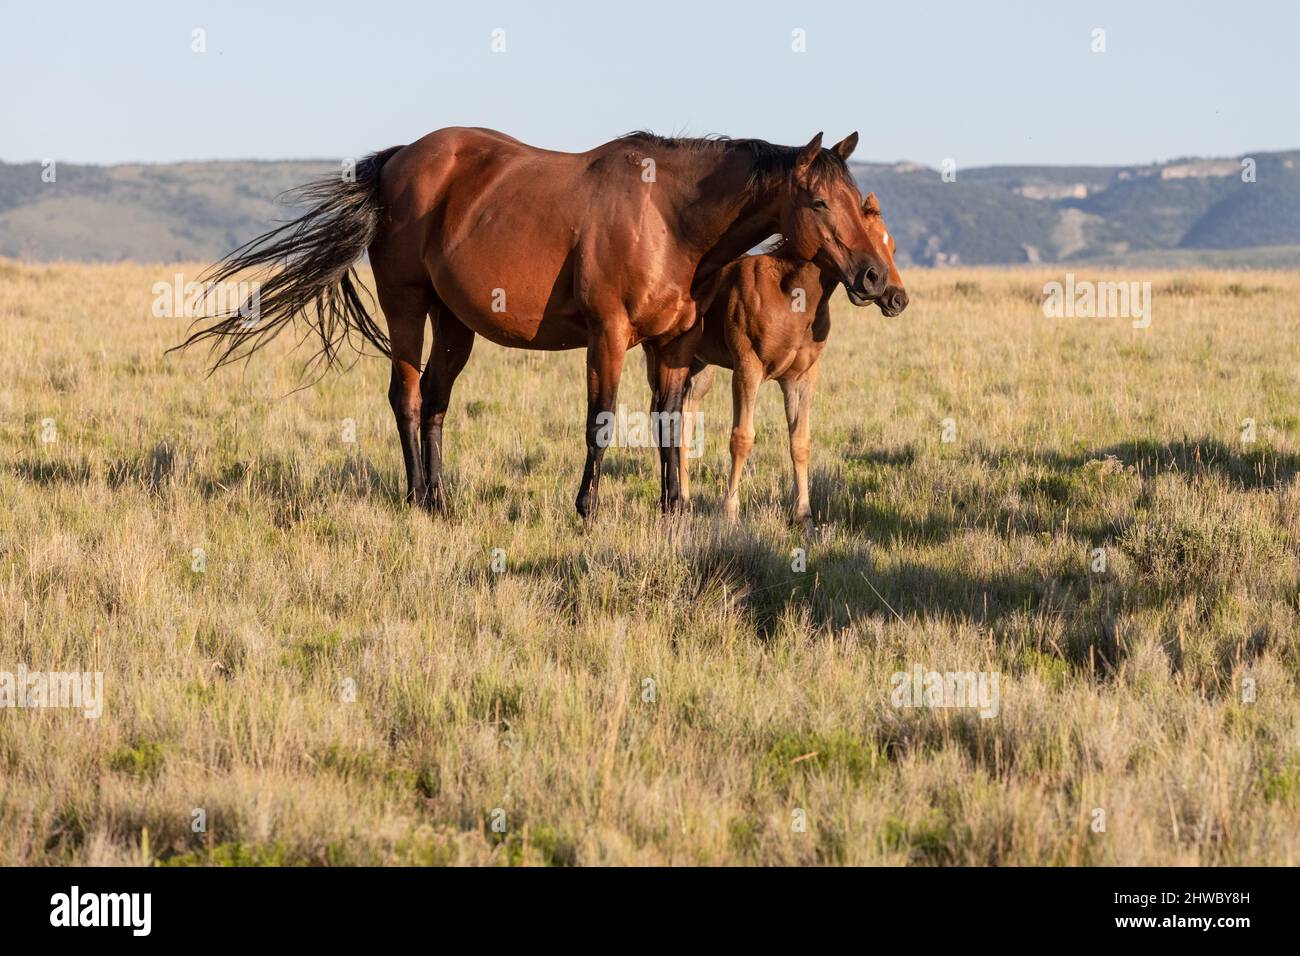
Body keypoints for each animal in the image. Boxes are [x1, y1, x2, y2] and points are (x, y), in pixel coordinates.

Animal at [673, 191, 907, 525]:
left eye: (893, 247)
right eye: (866, 241)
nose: (898, 298)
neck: (789, 297)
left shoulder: (801, 378)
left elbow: (800, 442)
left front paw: (803, 513)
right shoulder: (747, 370)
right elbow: (742, 438)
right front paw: (730, 510)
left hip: (700, 371)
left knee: (685, 425)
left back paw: (685, 499)